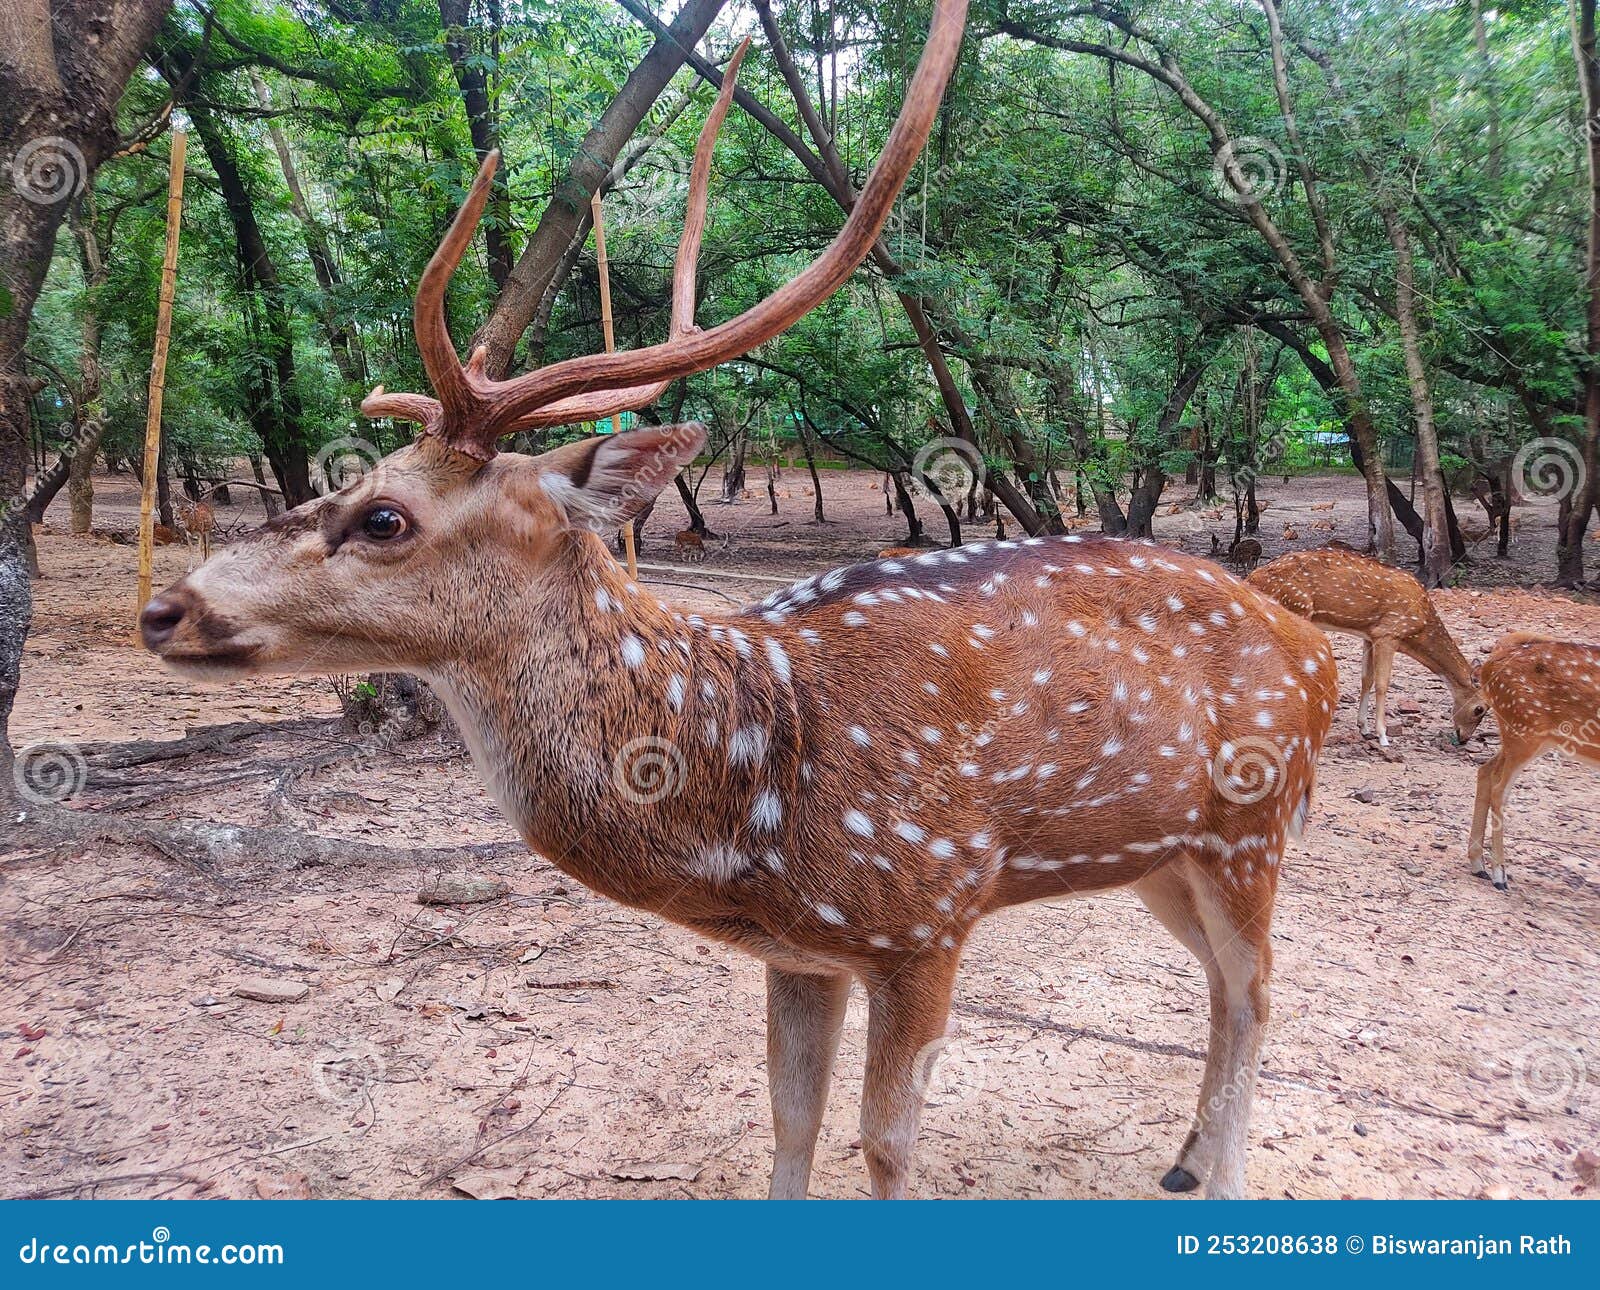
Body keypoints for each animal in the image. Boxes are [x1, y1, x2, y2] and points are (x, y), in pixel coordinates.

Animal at [137, 0, 1340, 1200]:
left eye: (383, 517)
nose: (165, 610)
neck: (751, 797)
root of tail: (1312, 644)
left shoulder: (928, 915)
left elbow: (885, 1144)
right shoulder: (804, 951)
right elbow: (790, 1120)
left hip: (1252, 824)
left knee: (1260, 988)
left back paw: (1224, 1178)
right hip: (1161, 855)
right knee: (1226, 985)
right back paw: (1183, 1161)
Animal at [1248, 545, 1485, 751]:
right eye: (1480, 709)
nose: (1463, 738)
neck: (1417, 630)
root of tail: (1252, 578)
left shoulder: (1369, 636)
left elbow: (1366, 679)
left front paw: (1364, 728)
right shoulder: (1388, 633)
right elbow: (1382, 684)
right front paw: (1383, 736)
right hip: (1295, 608)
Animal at [1456, 633, 1600, 890]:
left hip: (1524, 733)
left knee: (1486, 770)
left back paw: (1478, 865)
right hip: (1525, 727)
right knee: (1499, 789)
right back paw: (1499, 876)